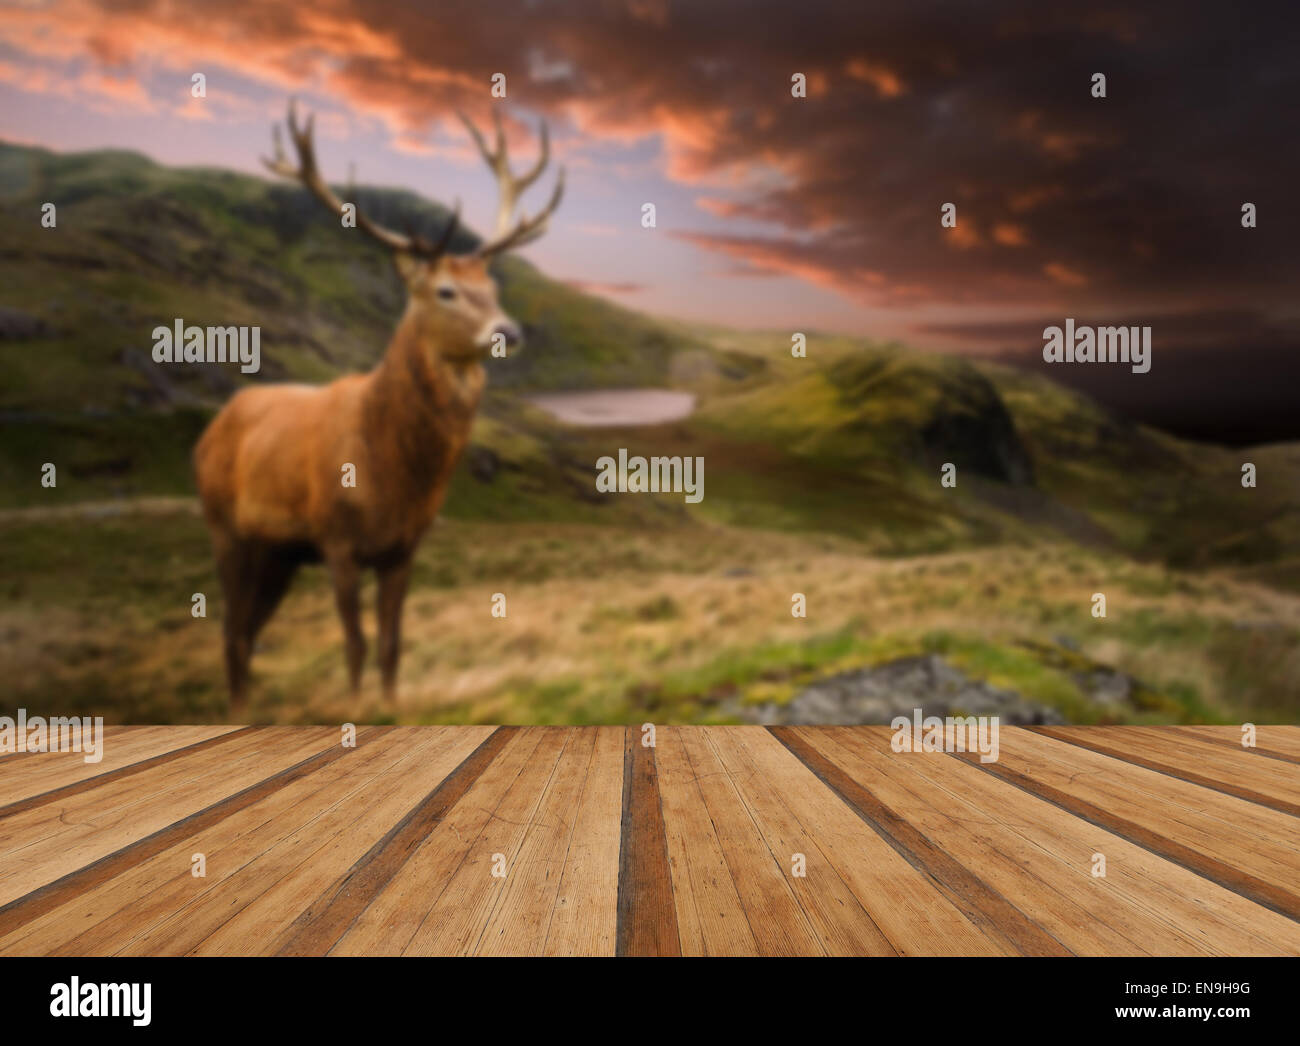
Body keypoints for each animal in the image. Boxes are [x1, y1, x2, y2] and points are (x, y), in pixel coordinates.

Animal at [193, 100, 563, 715]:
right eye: (444, 290)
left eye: (491, 285)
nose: (509, 331)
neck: (392, 474)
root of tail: (207, 432)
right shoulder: (337, 540)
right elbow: (357, 643)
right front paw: (355, 709)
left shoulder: (404, 548)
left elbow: (393, 642)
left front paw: (391, 707)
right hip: (225, 526)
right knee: (230, 628)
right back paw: (237, 711)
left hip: (278, 552)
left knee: (247, 628)